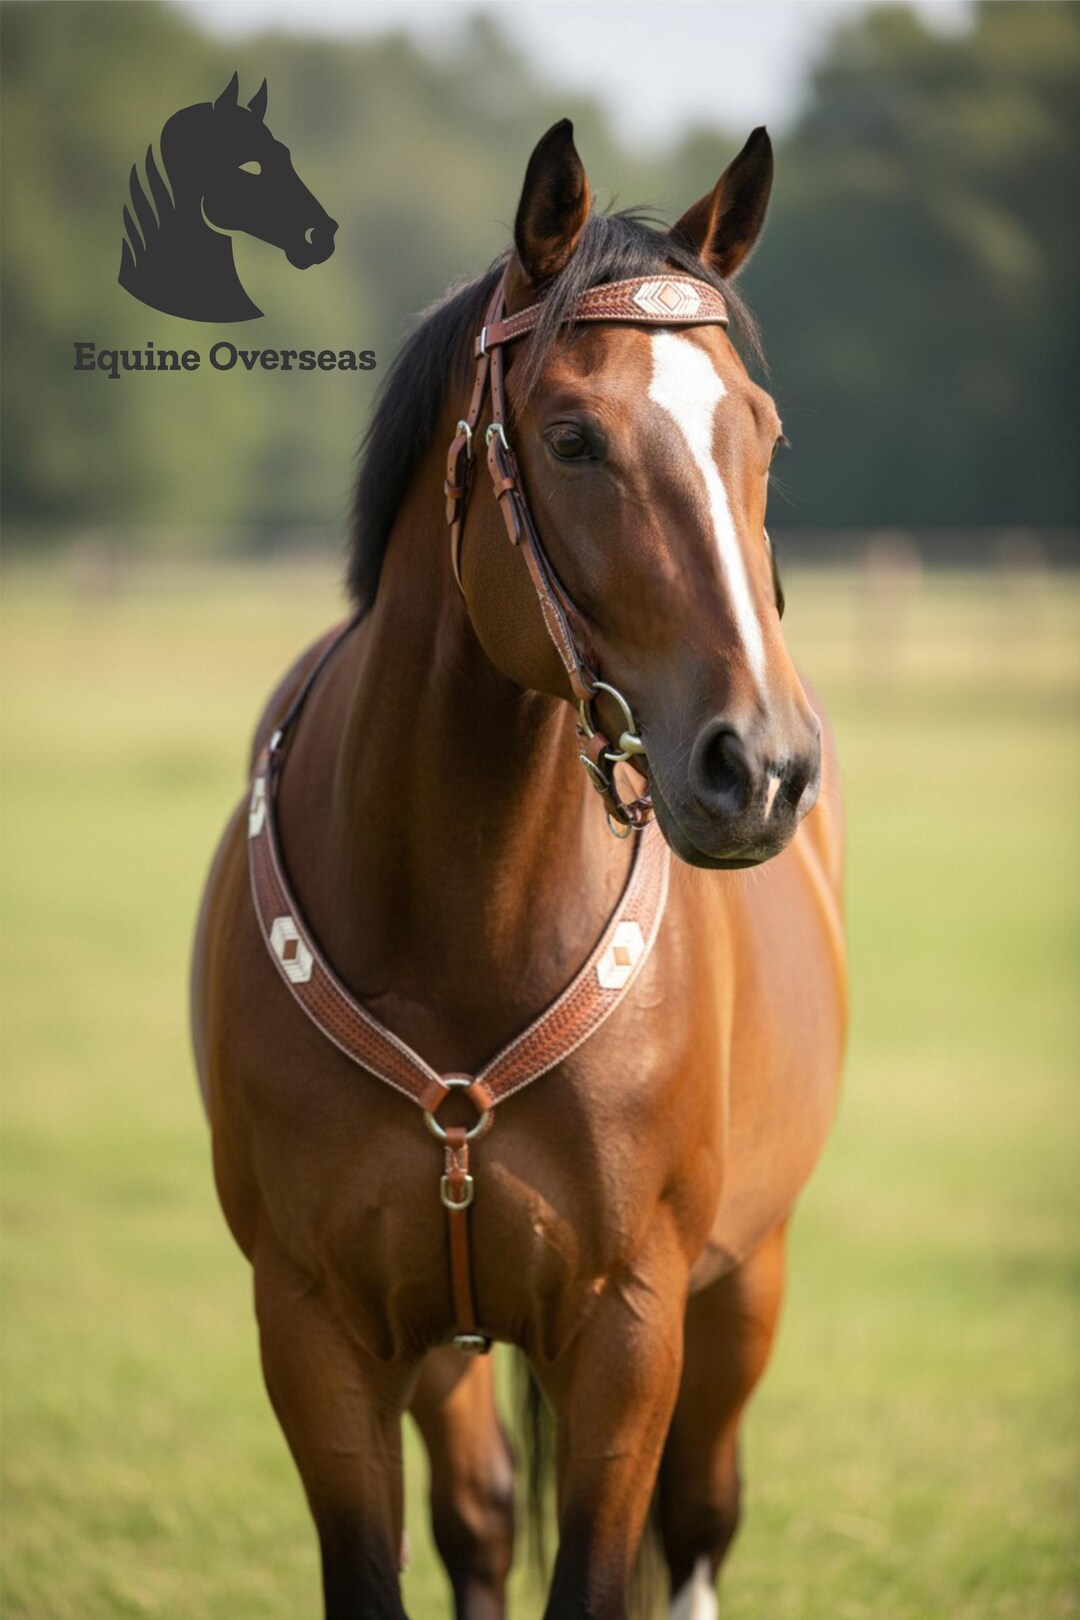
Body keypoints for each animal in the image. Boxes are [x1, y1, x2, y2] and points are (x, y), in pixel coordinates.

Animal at [191, 119, 846, 1620]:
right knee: (485, 1518)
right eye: (571, 437)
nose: (764, 765)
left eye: (763, 433)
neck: (462, 932)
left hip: (749, 1284)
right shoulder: (316, 1331)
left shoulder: (632, 1329)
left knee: (700, 1519)